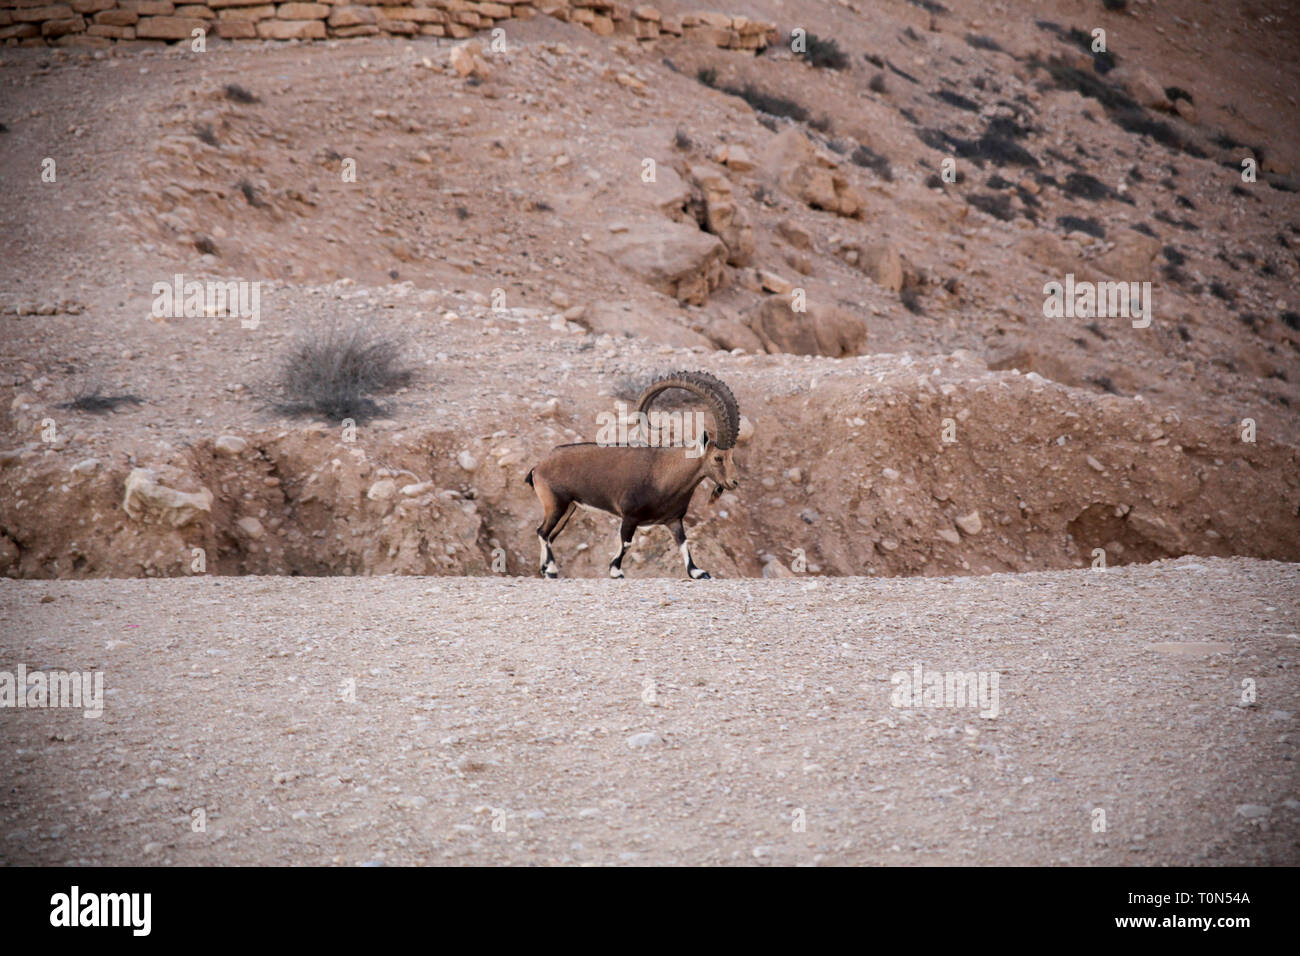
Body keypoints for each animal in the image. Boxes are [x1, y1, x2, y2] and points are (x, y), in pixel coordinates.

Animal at [525, 371, 743, 580]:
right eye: (717, 458)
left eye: (732, 456)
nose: (734, 482)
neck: (665, 475)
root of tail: (538, 467)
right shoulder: (629, 516)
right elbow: (627, 542)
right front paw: (615, 570)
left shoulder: (673, 519)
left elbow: (683, 543)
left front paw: (697, 572)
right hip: (555, 503)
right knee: (542, 531)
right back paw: (551, 569)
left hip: (569, 507)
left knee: (550, 534)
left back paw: (545, 569)